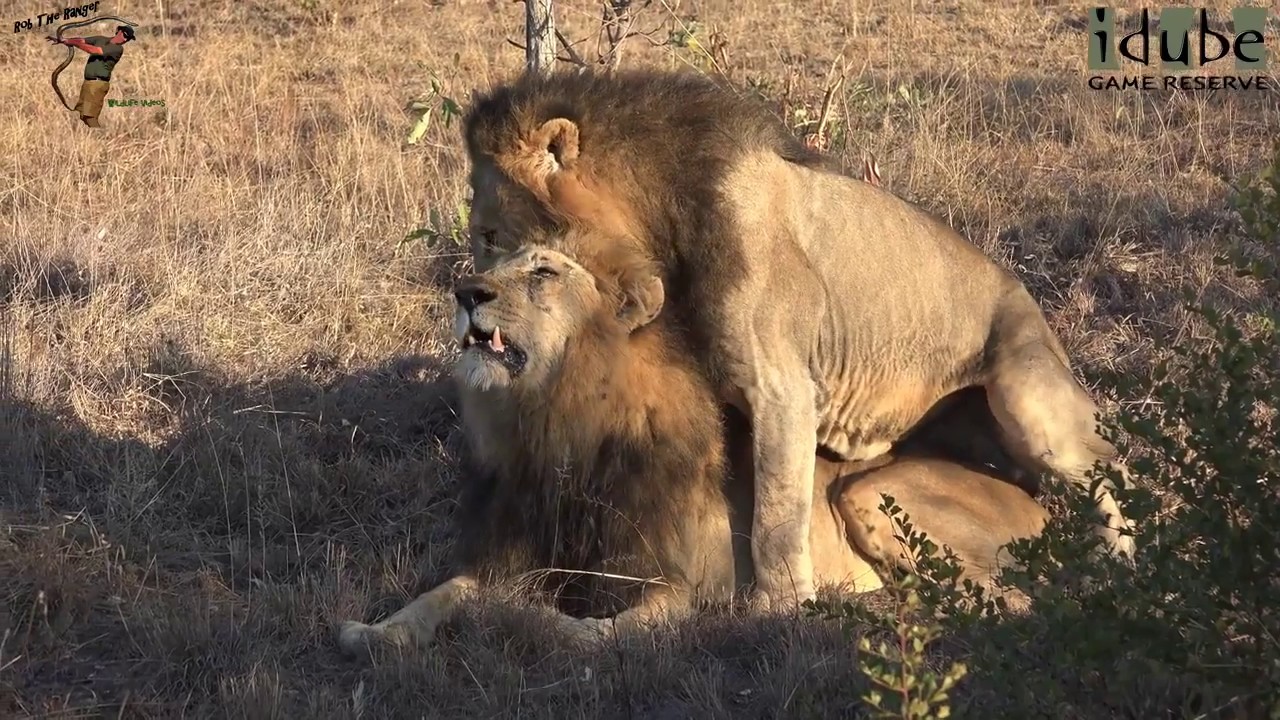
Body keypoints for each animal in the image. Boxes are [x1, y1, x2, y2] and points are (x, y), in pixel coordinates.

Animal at [335, 238, 1044, 653]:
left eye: (543, 271)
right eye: (488, 269)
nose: (466, 292)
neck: (558, 420)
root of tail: (1037, 503)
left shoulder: (673, 584)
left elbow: (586, 637)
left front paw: (529, 621)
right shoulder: (510, 553)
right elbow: (440, 593)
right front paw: (374, 631)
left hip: (870, 489)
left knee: (1010, 602)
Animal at [463, 67, 1141, 607]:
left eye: (490, 235)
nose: (466, 291)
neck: (656, 239)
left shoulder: (781, 390)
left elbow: (777, 519)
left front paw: (780, 614)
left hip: (1026, 395)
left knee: (1111, 464)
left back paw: (1120, 567)